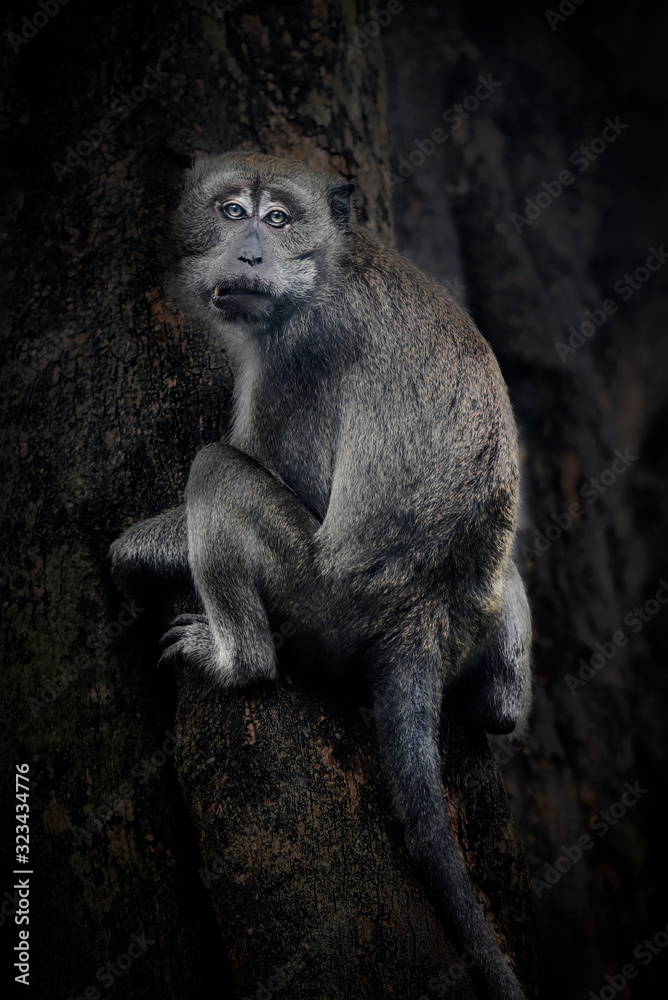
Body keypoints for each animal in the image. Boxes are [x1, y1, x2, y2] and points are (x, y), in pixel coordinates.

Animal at [109, 152, 533, 1000]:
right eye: (231, 210)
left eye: (276, 219)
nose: (248, 254)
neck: (331, 263)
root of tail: (418, 619)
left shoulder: (297, 353)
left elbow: (284, 476)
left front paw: (132, 552)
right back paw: (500, 699)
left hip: (319, 601)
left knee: (216, 471)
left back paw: (238, 661)